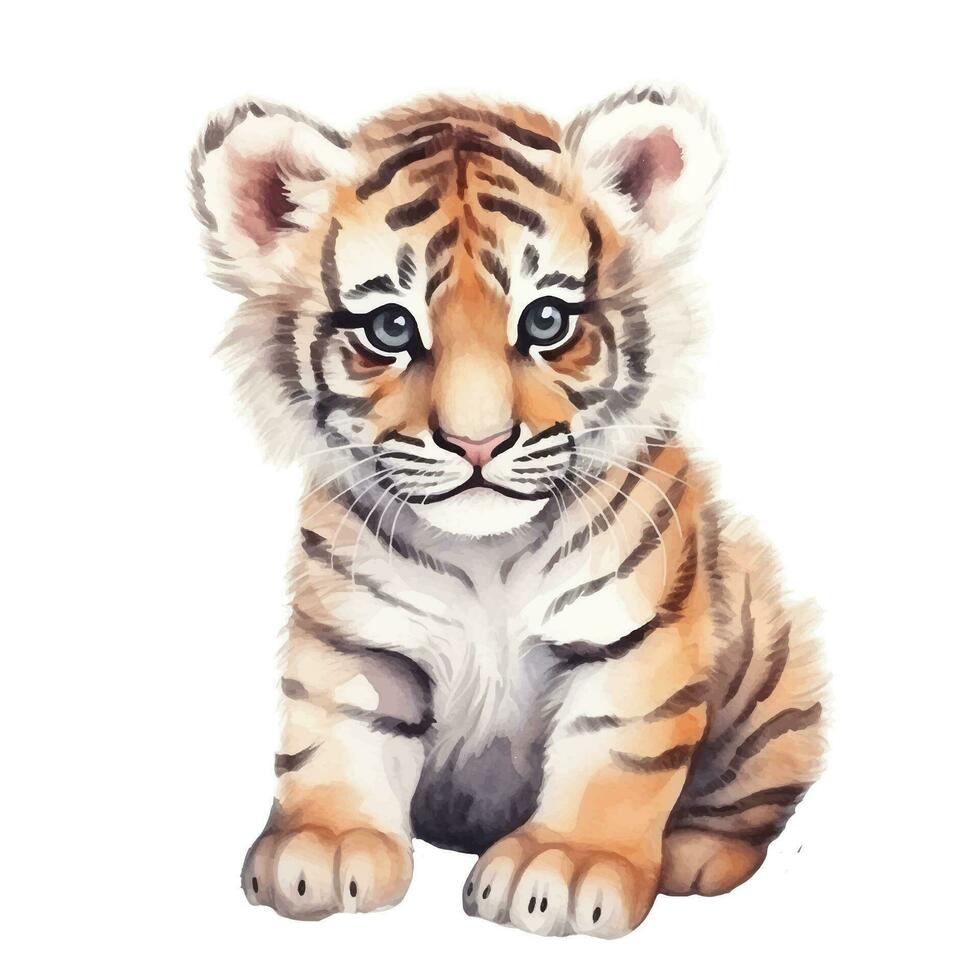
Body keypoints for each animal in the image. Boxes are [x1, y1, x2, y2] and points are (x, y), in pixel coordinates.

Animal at [189, 84, 827, 939]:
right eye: (390, 327)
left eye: (547, 321)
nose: (478, 442)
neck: (484, 556)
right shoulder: (354, 637)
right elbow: (333, 734)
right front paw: (324, 847)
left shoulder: (632, 639)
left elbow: (616, 754)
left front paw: (565, 867)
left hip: (779, 682)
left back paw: (693, 856)